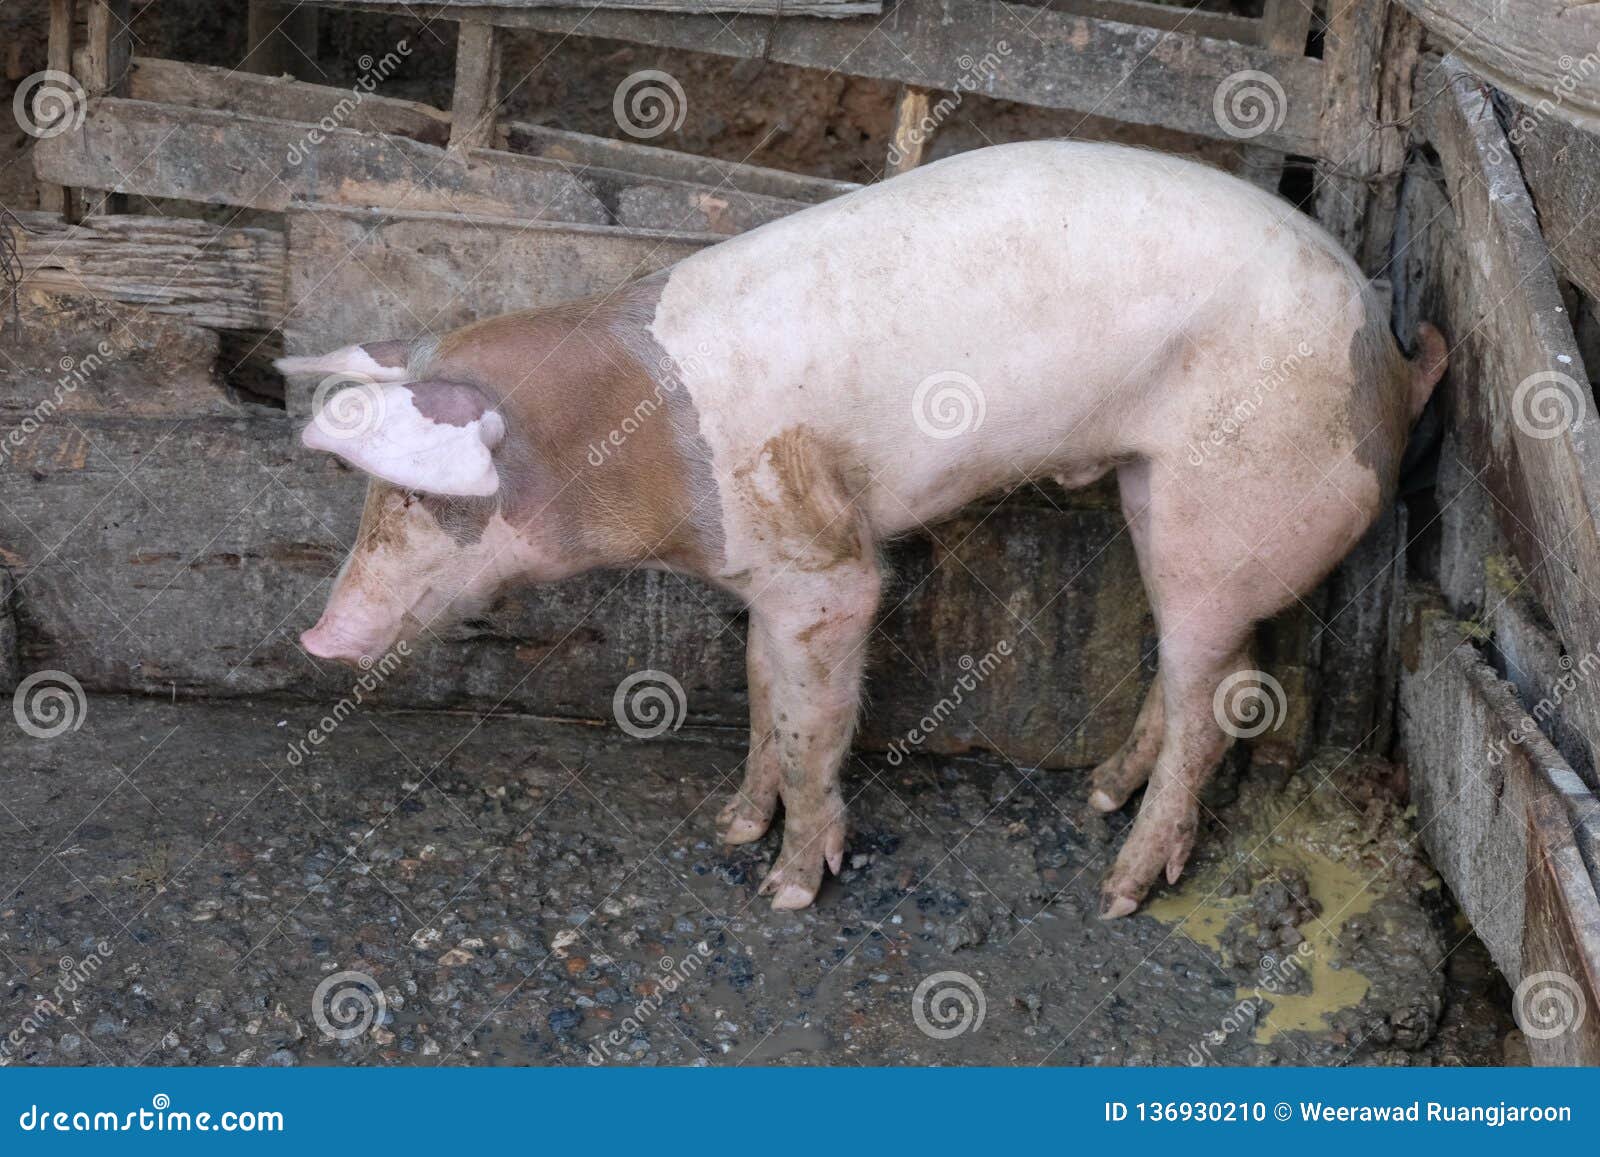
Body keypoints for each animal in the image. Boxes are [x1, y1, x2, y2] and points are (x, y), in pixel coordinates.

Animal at [279, 140, 1447, 918]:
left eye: (417, 498)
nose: (317, 636)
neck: (619, 439)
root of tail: (1391, 352)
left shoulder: (822, 568)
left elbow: (814, 719)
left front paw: (790, 890)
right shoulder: (760, 577)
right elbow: (761, 696)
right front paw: (731, 824)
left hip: (1237, 498)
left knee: (1223, 698)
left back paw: (1117, 891)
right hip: (1157, 494)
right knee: (1193, 668)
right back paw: (1101, 794)